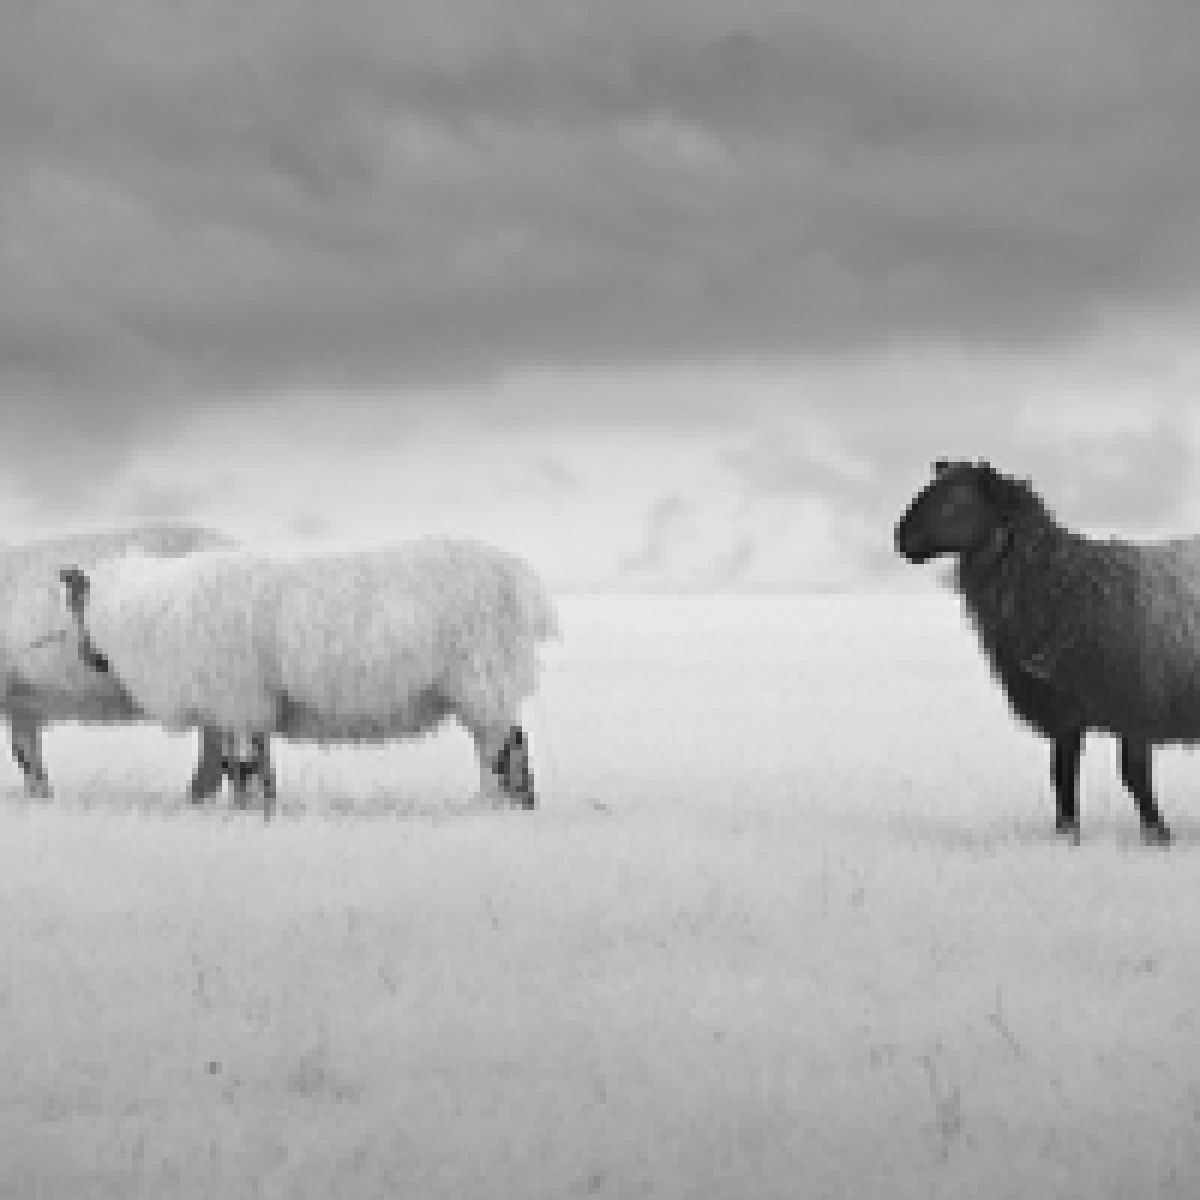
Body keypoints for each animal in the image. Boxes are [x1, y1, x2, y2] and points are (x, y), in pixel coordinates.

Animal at [57, 538, 559, 815]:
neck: (145, 609)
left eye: (77, 603)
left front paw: (247, 813)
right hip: (484, 684)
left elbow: (241, 765)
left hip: (484, 675)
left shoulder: (238, 697)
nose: (89, 659)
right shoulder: (244, 704)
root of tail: (524, 580)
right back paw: (510, 804)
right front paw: (257, 809)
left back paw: (496, 806)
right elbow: (251, 764)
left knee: (503, 747)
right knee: (501, 744)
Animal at [893, 457, 1200, 845]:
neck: (1059, 582)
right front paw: (1067, 836)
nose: (900, 538)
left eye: (956, 501)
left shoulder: (1133, 702)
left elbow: (1133, 774)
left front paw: (1158, 836)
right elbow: (1062, 775)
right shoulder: (1065, 710)